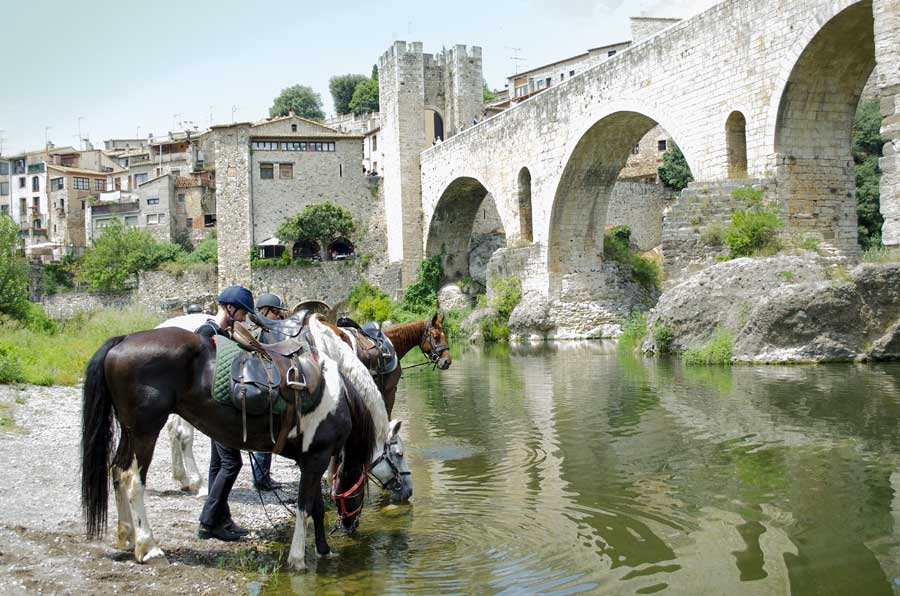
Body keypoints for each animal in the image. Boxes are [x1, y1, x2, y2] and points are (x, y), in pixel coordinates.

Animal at [81, 316, 407, 570]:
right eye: (399, 454)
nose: (408, 491)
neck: (340, 394)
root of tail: (122, 341)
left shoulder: (311, 457)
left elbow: (315, 507)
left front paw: (324, 551)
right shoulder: (318, 457)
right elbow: (304, 507)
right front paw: (298, 559)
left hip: (129, 432)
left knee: (115, 471)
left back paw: (125, 536)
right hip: (145, 432)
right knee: (132, 479)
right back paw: (148, 547)